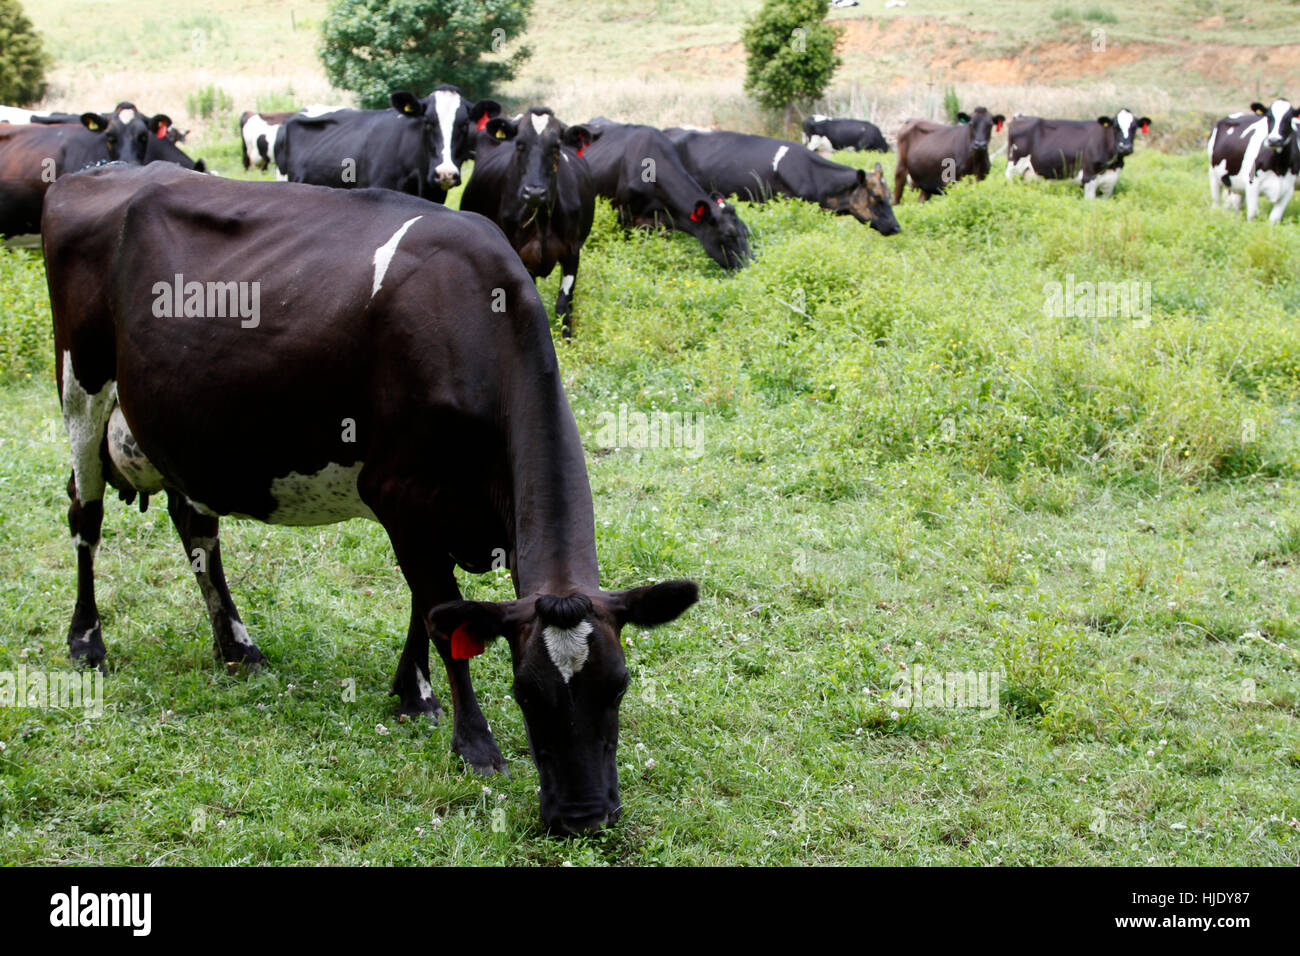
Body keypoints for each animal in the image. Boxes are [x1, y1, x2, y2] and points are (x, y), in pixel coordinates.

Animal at [42, 162, 699, 835]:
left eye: (619, 685)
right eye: (525, 692)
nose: (583, 816)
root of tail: (102, 171)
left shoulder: (445, 515)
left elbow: (432, 609)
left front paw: (411, 693)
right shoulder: (403, 497)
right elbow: (440, 616)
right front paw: (474, 744)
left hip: (182, 431)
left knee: (195, 526)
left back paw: (237, 648)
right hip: (81, 386)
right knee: (85, 512)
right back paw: (87, 642)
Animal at [460, 108, 599, 337]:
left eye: (556, 145)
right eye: (519, 144)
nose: (534, 192)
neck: (542, 218)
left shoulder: (573, 251)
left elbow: (564, 305)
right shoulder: (521, 256)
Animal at [1005, 109, 1151, 199]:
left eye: (1134, 127)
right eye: (1115, 126)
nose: (1125, 147)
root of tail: (1020, 117)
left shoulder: (1110, 183)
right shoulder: (1088, 178)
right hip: (1013, 167)